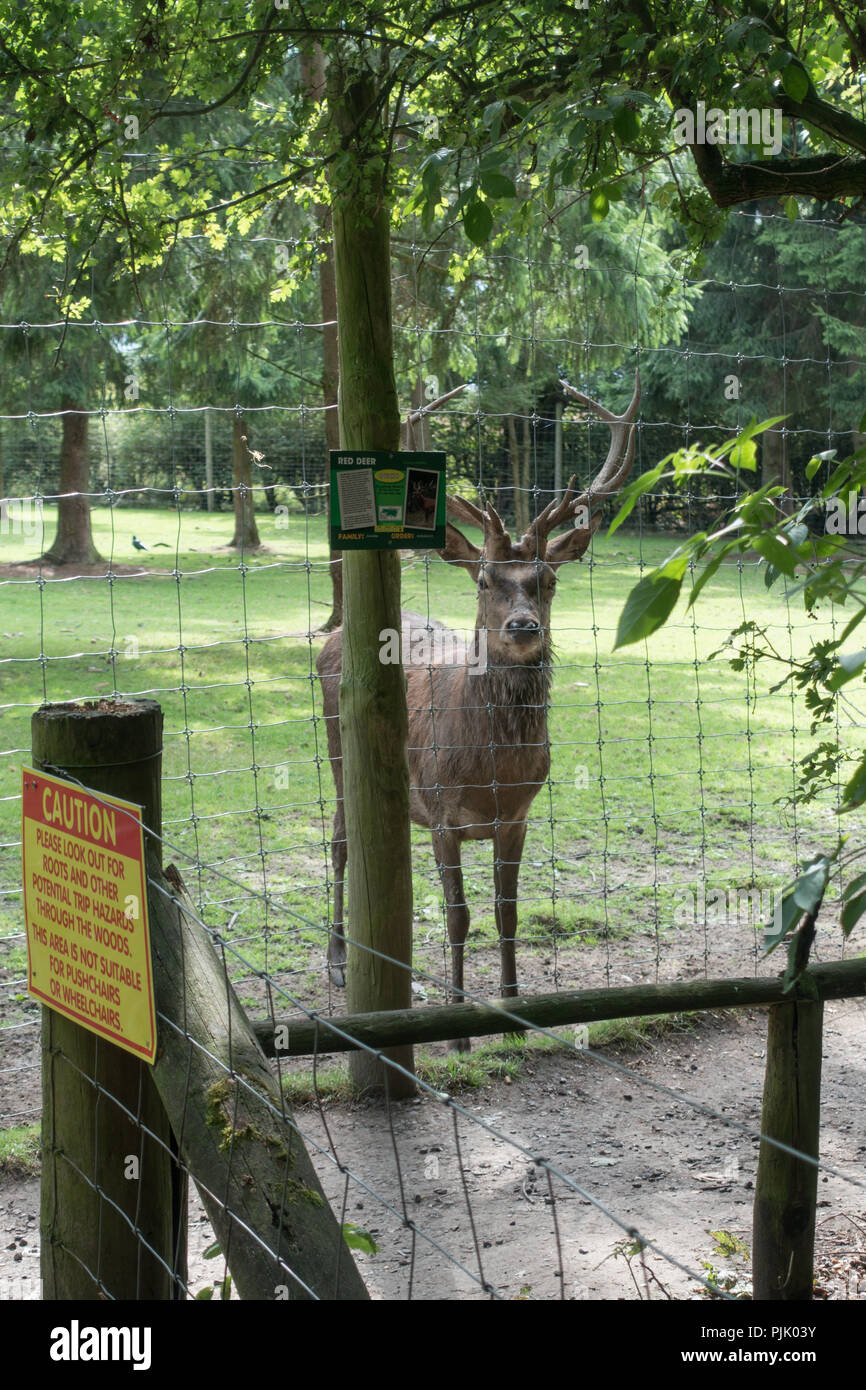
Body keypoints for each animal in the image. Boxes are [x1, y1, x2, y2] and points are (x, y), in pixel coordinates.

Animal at [316, 373, 640, 1035]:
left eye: (548, 579)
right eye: (486, 578)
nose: (522, 626)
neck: (492, 770)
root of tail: (330, 639)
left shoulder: (517, 816)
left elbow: (506, 909)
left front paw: (513, 1004)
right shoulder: (444, 813)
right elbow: (459, 914)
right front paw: (459, 1020)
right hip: (338, 752)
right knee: (337, 842)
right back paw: (336, 962)